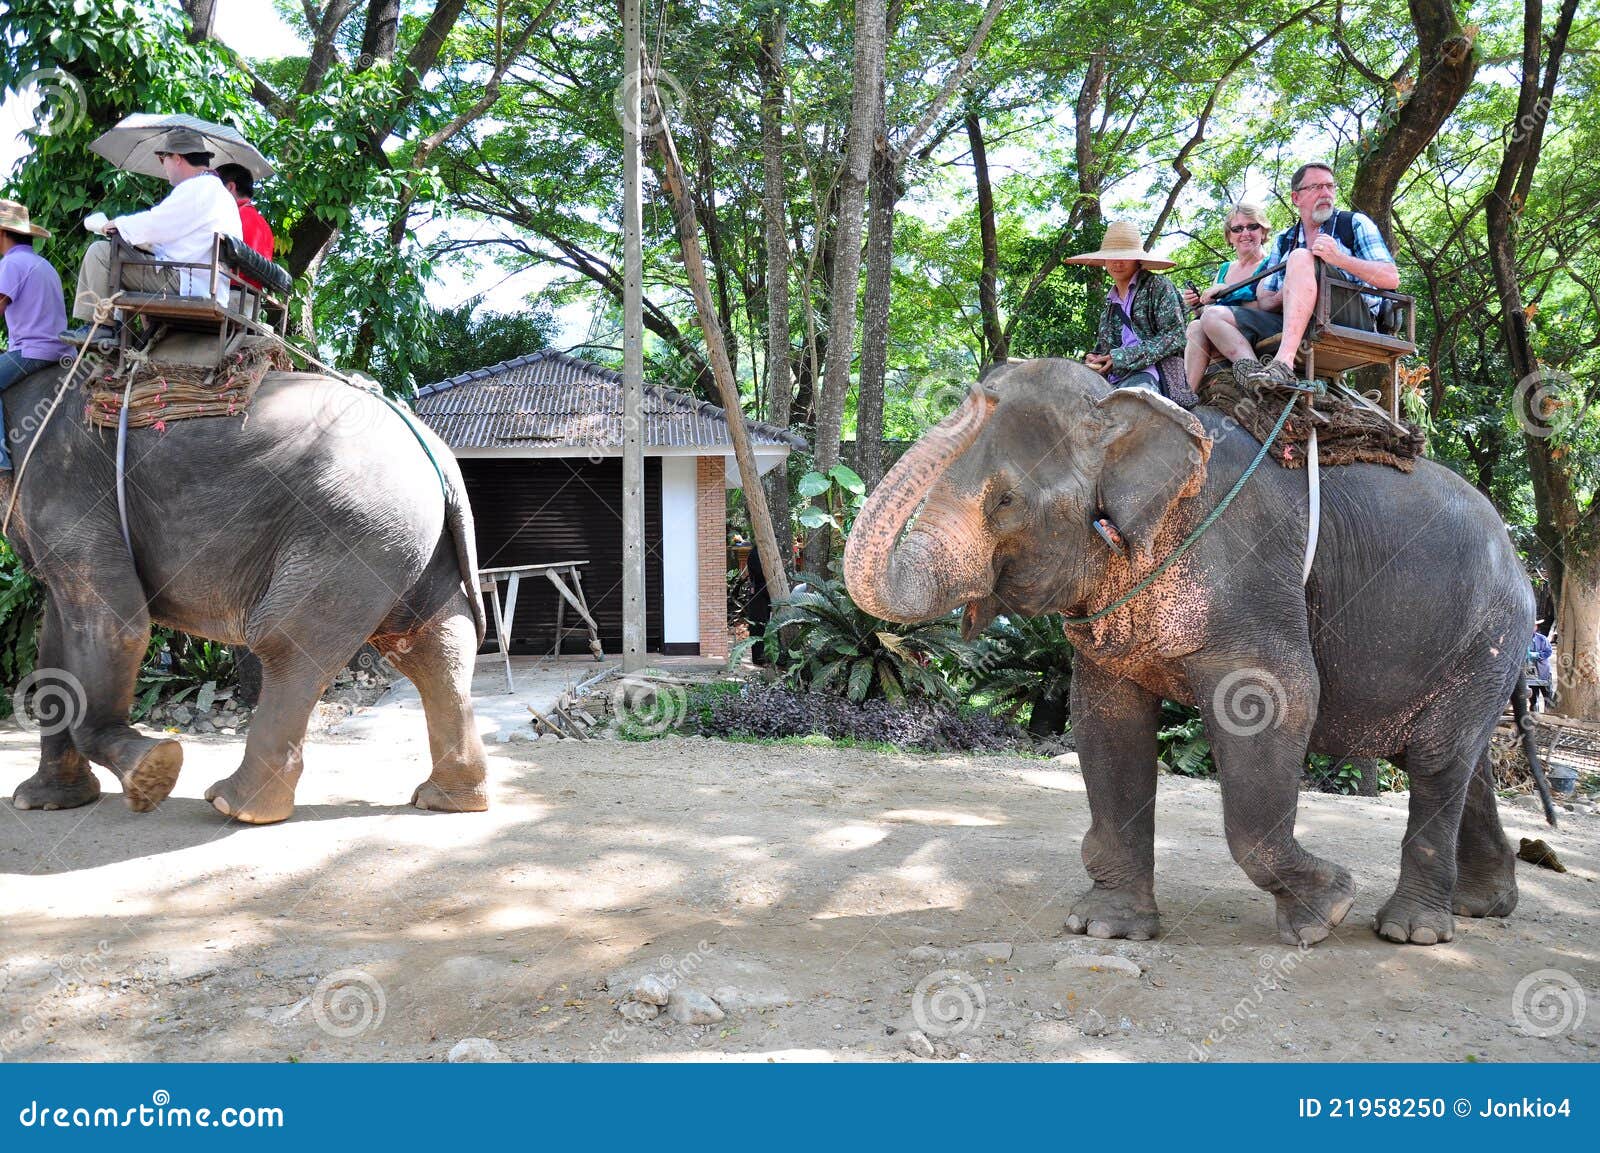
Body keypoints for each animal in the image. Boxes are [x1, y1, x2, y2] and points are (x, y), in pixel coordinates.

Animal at [2, 360, 489, 825]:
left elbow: (116, 622)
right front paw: (46, 802)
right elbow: (55, 641)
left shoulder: (66, 485)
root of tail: (438, 452)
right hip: (404, 539)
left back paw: (235, 805)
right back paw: (449, 801)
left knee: (285, 641)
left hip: (352, 528)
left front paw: (153, 770)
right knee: (431, 644)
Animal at [844, 358, 1529, 947]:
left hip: (1490, 634)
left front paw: (1327, 912)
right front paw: (1107, 928)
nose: (975, 392)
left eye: (1005, 501)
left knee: (1436, 760)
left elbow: (1278, 701)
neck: (1132, 410)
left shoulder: (1251, 580)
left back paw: (1411, 931)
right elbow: (1105, 725)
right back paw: (1481, 906)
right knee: (1457, 760)